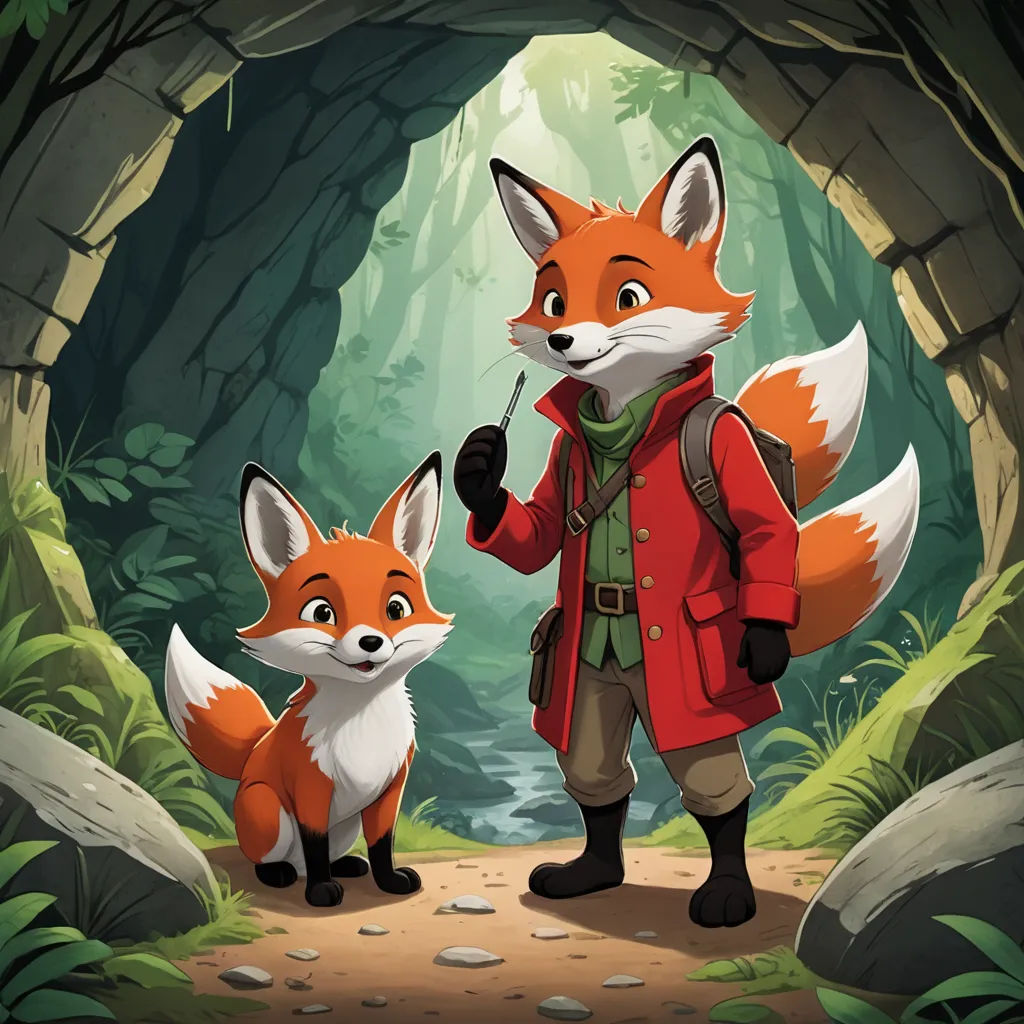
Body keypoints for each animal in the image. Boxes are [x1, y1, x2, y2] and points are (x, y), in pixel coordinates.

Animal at [165, 454, 452, 907]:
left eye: (395, 608)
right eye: (322, 612)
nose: (371, 641)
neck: (361, 724)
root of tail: (252, 753)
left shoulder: (390, 788)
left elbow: (381, 844)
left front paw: (388, 881)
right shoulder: (311, 784)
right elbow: (315, 843)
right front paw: (321, 892)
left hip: (346, 825)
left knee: (331, 853)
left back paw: (348, 865)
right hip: (268, 811)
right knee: (280, 859)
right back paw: (283, 874)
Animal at [454, 135, 919, 926]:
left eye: (628, 297)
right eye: (553, 300)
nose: (562, 339)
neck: (629, 418)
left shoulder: (726, 451)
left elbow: (765, 531)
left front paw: (765, 643)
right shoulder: (565, 473)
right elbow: (541, 531)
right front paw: (478, 479)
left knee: (714, 787)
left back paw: (727, 891)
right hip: (587, 685)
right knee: (596, 775)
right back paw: (594, 871)